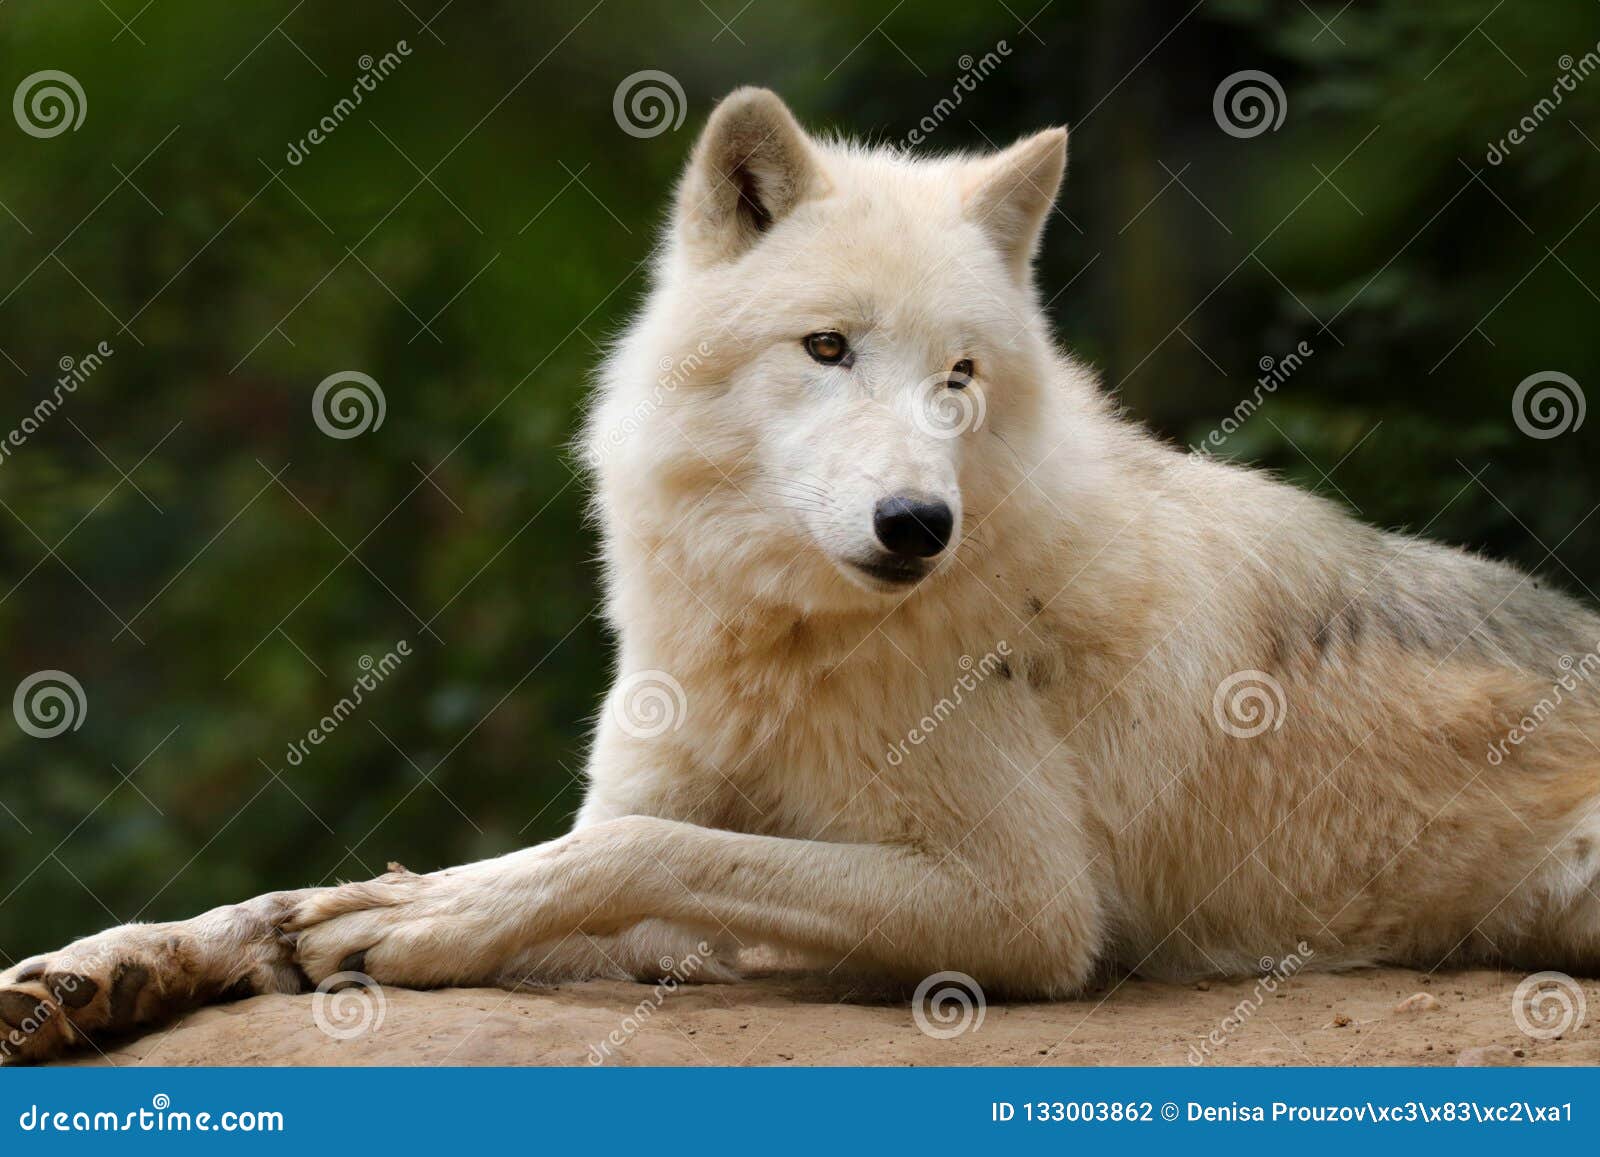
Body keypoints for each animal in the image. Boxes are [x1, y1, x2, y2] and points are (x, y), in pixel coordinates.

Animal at [4, 88, 1598, 1062]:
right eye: (828, 347)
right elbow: (387, 887)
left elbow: (625, 855)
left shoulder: (1024, 911)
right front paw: (118, 965)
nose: (916, 523)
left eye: (959, 377)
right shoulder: (666, 812)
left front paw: (406, 924)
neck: (783, 644)